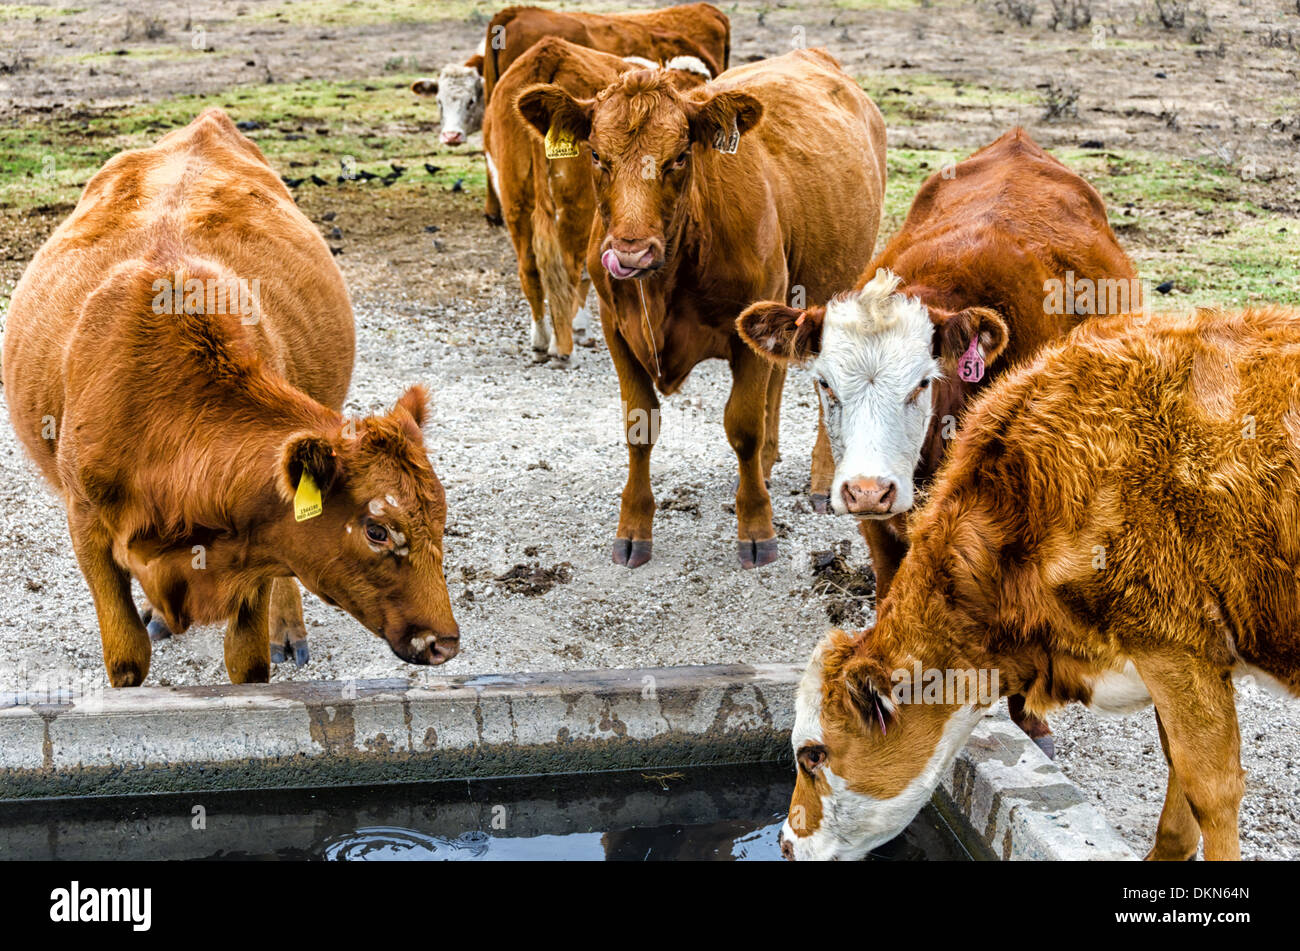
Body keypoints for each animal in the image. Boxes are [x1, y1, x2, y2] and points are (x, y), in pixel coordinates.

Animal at [2, 108, 460, 688]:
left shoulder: (254, 549)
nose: (444, 642)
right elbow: (127, 659)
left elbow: (248, 662)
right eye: (377, 530)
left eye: (441, 519)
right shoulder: (87, 530)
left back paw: (287, 630)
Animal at [487, 38, 710, 364]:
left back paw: (541, 340)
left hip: (514, 196)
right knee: (568, 267)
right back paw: (562, 346)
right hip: (575, 203)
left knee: (529, 265)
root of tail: (547, 54)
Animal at [516, 48, 887, 569]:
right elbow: (639, 426)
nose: (632, 252)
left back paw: (820, 478)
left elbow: (743, 426)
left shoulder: (742, 330)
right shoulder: (616, 329)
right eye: (596, 156)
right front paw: (633, 529)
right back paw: (767, 464)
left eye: (679, 157)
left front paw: (756, 530)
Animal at [778, 303, 1300, 861]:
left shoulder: (1174, 644)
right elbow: (1178, 784)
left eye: (813, 755)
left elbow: (1211, 790)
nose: (785, 842)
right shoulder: (1185, 656)